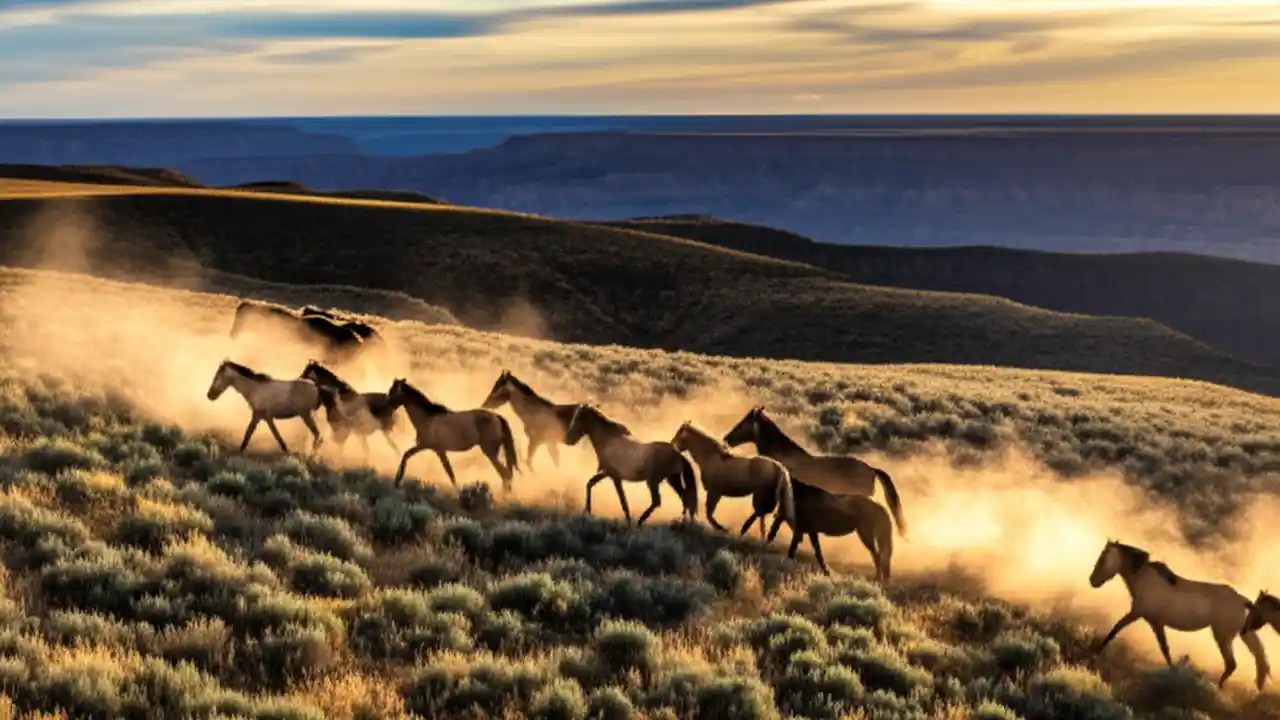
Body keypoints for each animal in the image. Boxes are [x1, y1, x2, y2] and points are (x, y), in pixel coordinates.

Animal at [385, 378, 519, 491]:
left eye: (393, 392)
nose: (385, 406)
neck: (427, 418)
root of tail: (497, 417)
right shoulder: (440, 451)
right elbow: (450, 472)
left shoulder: (424, 445)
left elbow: (405, 456)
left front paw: (397, 482)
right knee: (506, 474)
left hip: (490, 451)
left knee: (505, 474)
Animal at [564, 404, 698, 526]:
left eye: (579, 418)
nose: (568, 439)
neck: (608, 440)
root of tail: (678, 453)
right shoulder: (607, 473)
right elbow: (590, 484)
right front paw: (588, 510)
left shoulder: (615, 477)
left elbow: (622, 500)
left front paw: (628, 520)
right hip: (672, 480)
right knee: (685, 497)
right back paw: (682, 522)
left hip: (654, 481)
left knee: (658, 501)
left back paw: (640, 521)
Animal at [1090, 540, 1268, 690]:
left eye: (1103, 559)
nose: (1093, 581)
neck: (1145, 579)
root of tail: (1242, 600)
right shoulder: (1155, 623)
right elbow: (1165, 648)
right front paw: (1173, 671)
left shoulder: (1138, 614)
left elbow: (1116, 629)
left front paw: (1096, 651)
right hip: (1240, 634)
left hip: (1222, 637)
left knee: (1231, 664)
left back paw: (1216, 689)